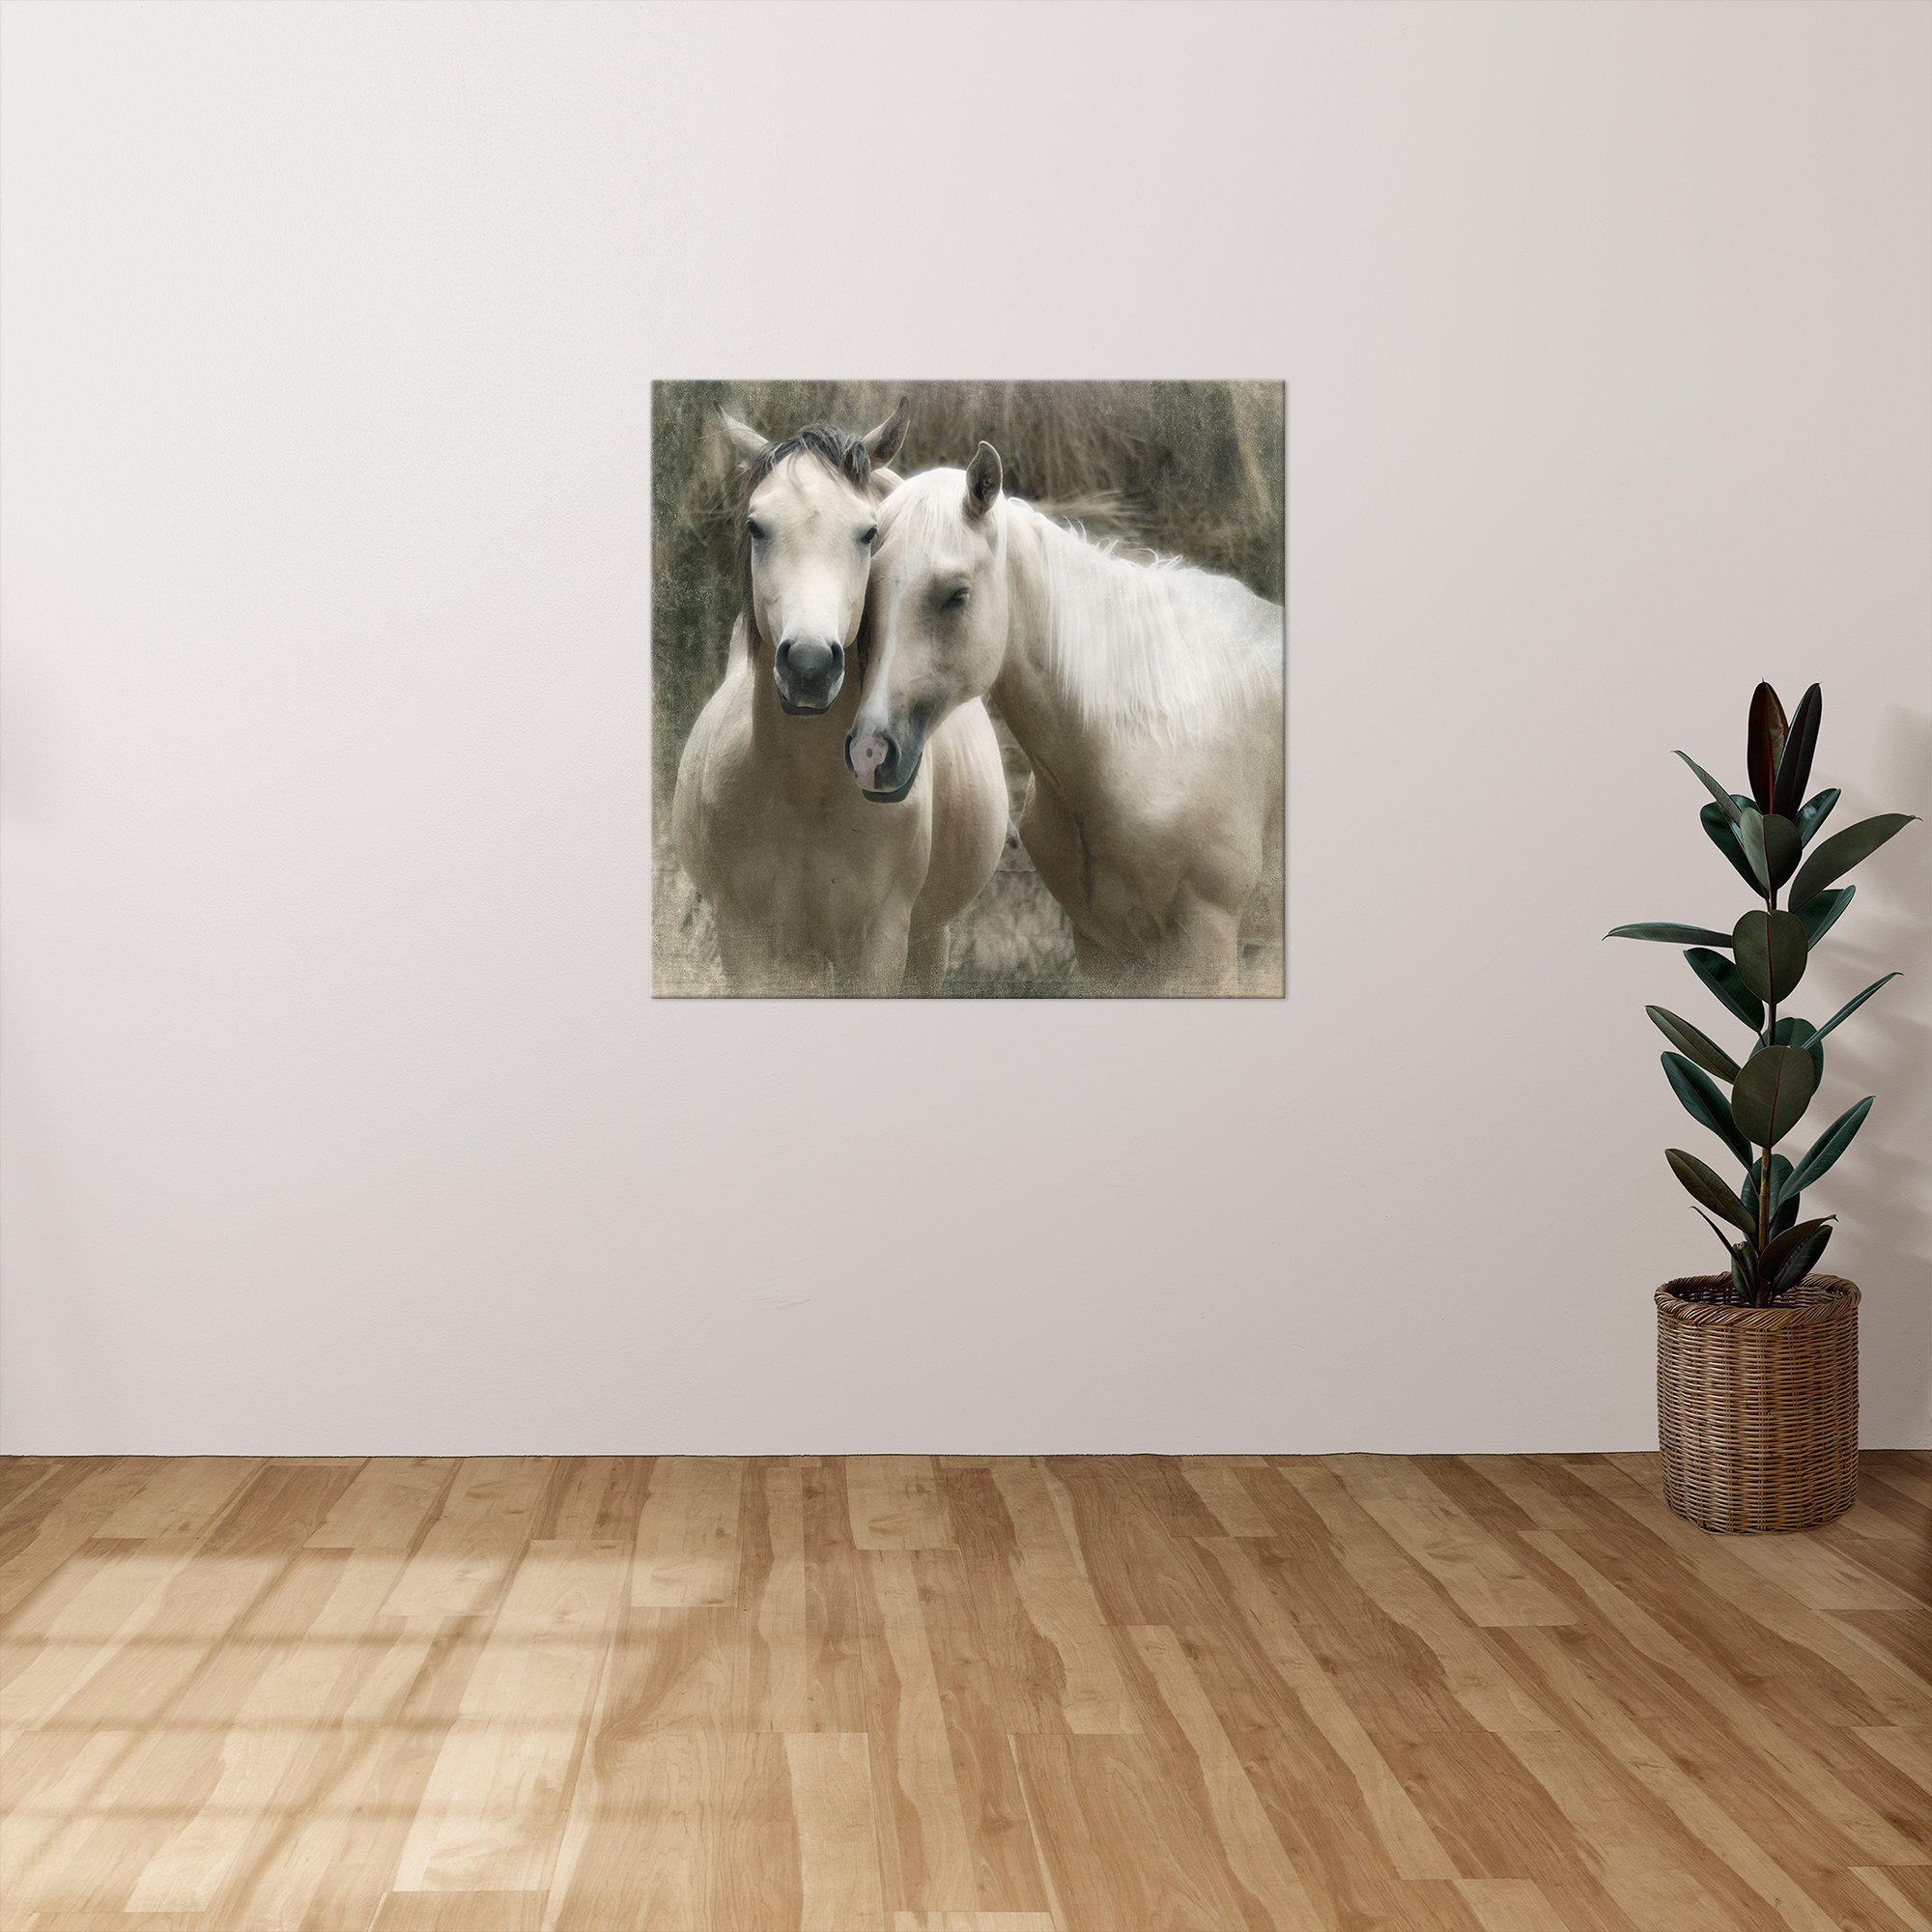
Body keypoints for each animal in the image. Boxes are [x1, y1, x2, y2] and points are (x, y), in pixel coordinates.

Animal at [670, 405, 1008, 995]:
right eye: (756, 526)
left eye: (868, 532)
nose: (809, 665)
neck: (808, 794)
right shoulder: (746, 940)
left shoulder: (879, 944)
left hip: (928, 940)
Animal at [846, 444, 1283, 995]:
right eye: (868, 595)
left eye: (957, 594)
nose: (870, 753)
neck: (1151, 736)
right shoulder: (1105, 951)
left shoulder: (1207, 952)